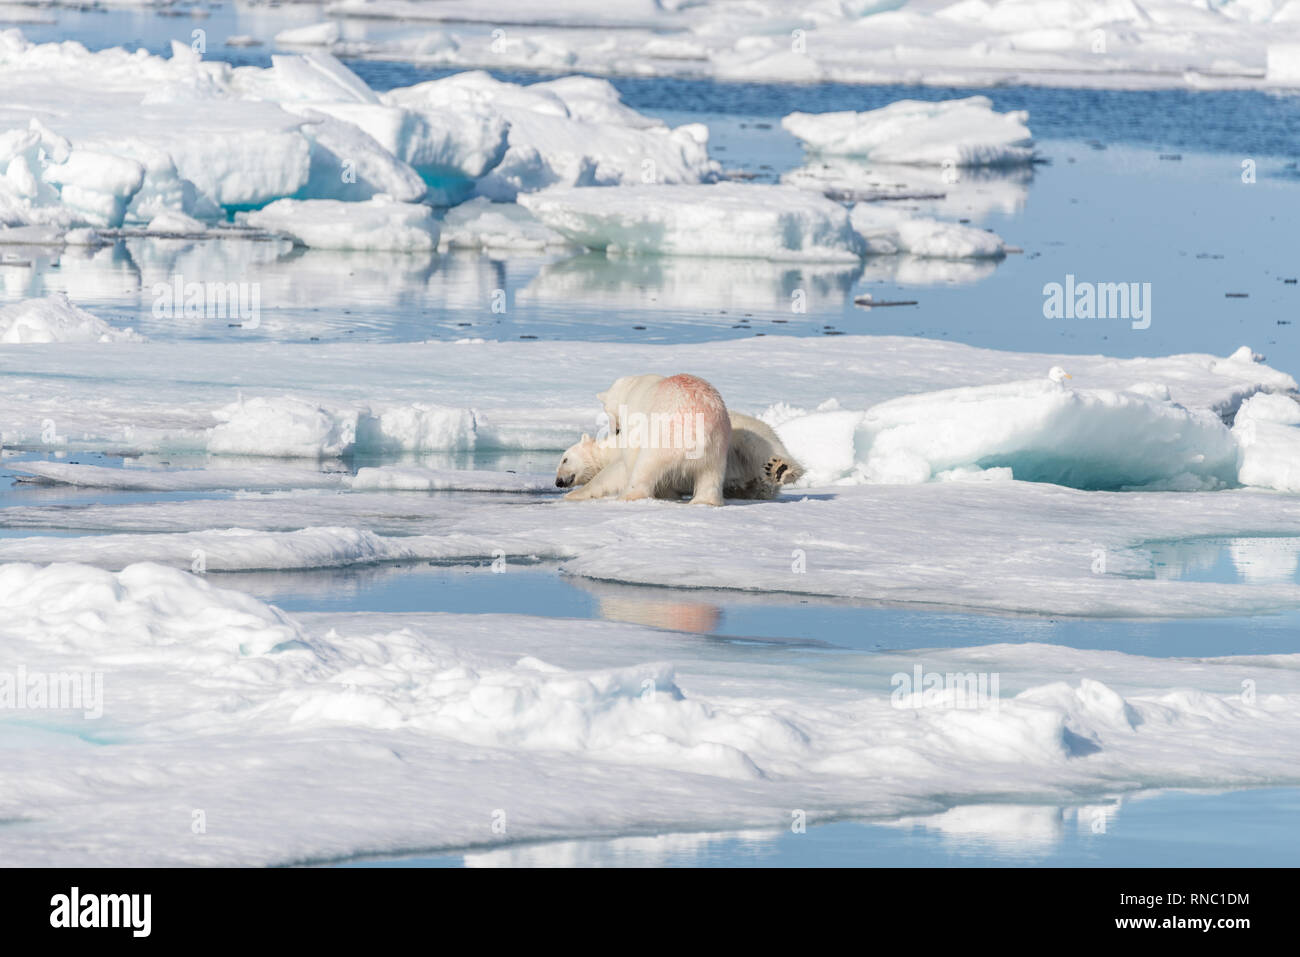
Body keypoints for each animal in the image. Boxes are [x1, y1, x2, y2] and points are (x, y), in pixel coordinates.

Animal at [555, 410, 804, 501]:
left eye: (564, 459)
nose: (558, 481)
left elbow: (615, 474)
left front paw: (576, 495)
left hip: (748, 433)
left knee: (760, 447)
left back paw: (782, 469)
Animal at [561, 373, 731, 506]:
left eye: (606, 410)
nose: (616, 430)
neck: (630, 387)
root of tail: (699, 429)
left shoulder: (634, 413)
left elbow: (630, 453)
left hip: (665, 435)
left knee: (646, 464)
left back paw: (628, 495)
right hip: (718, 443)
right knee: (711, 472)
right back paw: (705, 500)